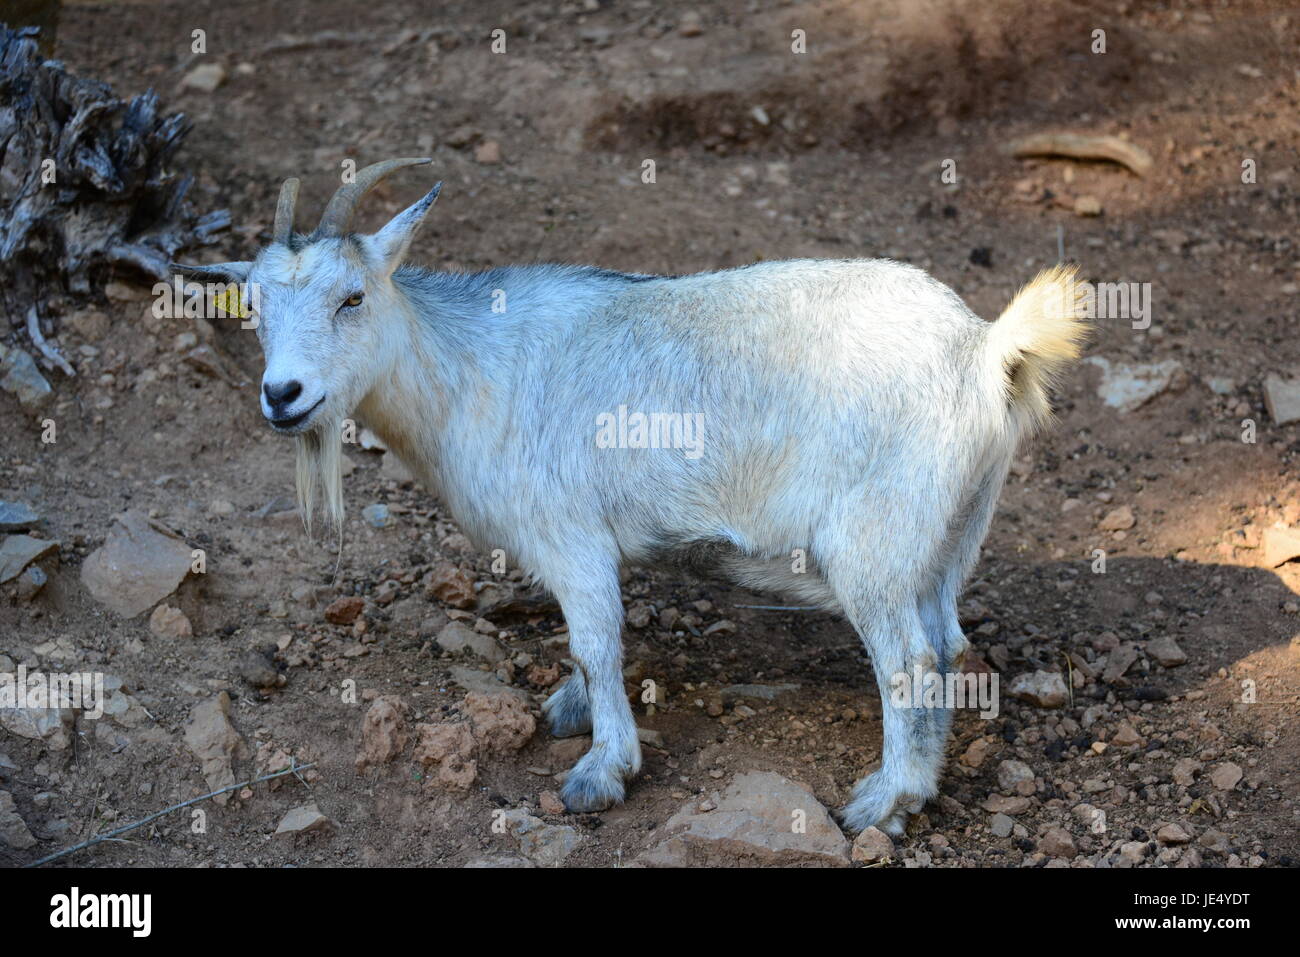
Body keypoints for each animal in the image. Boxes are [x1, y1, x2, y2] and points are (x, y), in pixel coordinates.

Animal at [176, 158, 1088, 833]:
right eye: (254, 306)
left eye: (353, 296)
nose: (283, 394)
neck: (471, 369)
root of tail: (986, 348)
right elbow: (591, 647)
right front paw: (570, 710)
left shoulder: (569, 536)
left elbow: (595, 641)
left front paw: (601, 770)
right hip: (944, 539)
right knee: (950, 643)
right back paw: (918, 786)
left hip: (873, 544)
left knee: (911, 659)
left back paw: (881, 801)